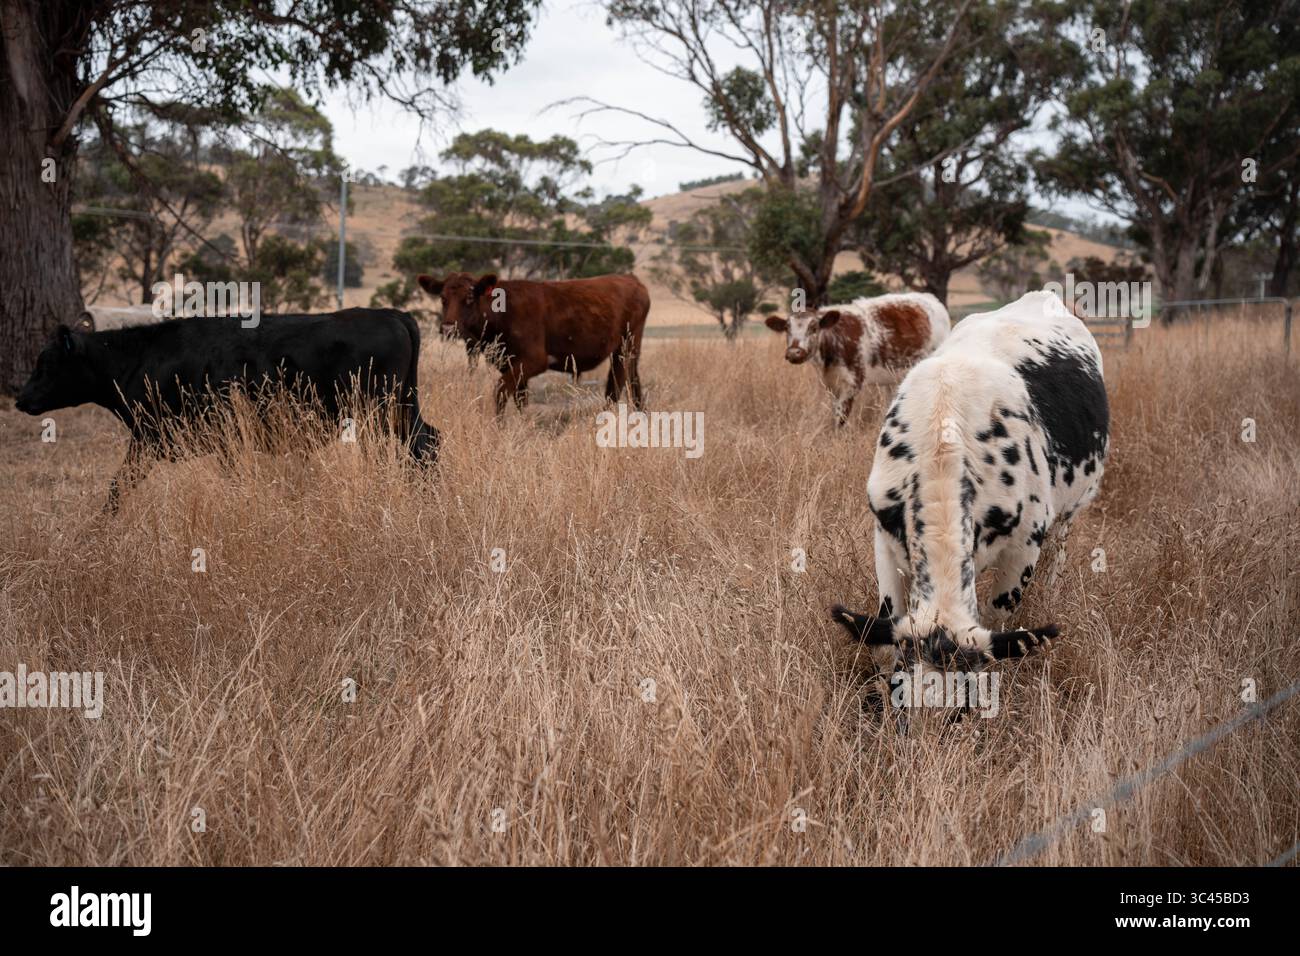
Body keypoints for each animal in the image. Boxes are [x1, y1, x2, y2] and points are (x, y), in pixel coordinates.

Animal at [14, 308, 439, 511]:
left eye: (46, 363)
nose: (20, 398)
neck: (144, 357)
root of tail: (392, 314)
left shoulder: (157, 439)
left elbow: (119, 486)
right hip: (403, 407)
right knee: (426, 444)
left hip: (379, 412)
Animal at [417, 272, 650, 413]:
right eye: (443, 298)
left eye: (469, 298)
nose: (448, 328)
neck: (504, 310)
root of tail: (630, 278)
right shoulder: (510, 363)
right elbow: (521, 399)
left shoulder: (534, 360)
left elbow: (500, 391)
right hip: (627, 350)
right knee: (632, 381)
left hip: (625, 347)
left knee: (616, 386)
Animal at [765, 292, 950, 427]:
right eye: (787, 328)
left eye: (814, 328)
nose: (794, 353)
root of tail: (930, 298)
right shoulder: (832, 385)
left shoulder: (852, 384)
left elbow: (840, 419)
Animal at [830, 290, 1109, 677]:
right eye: (901, 683)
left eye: (966, 692)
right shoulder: (884, 537)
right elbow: (886, 626)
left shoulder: (1023, 550)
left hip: (1069, 512)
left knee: (1058, 551)